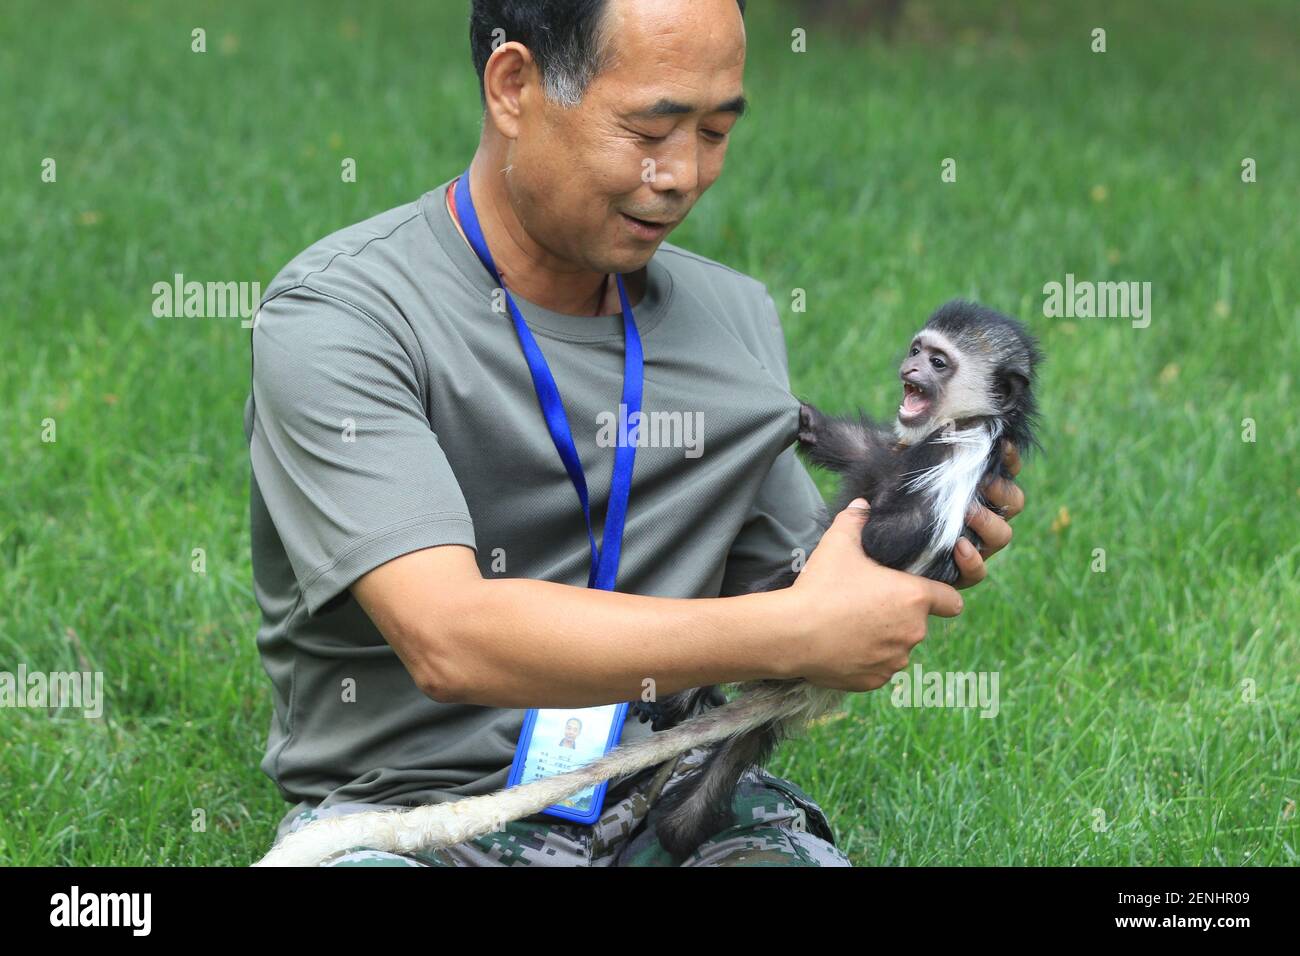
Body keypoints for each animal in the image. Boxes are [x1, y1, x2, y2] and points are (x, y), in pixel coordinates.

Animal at [253, 299, 1041, 867]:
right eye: (918, 351)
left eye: (937, 360)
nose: (912, 367)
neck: (948, 427)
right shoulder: (903, 443)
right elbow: (857, 455)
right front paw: (792, 416)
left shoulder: (958, 462)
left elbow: (889, 536)